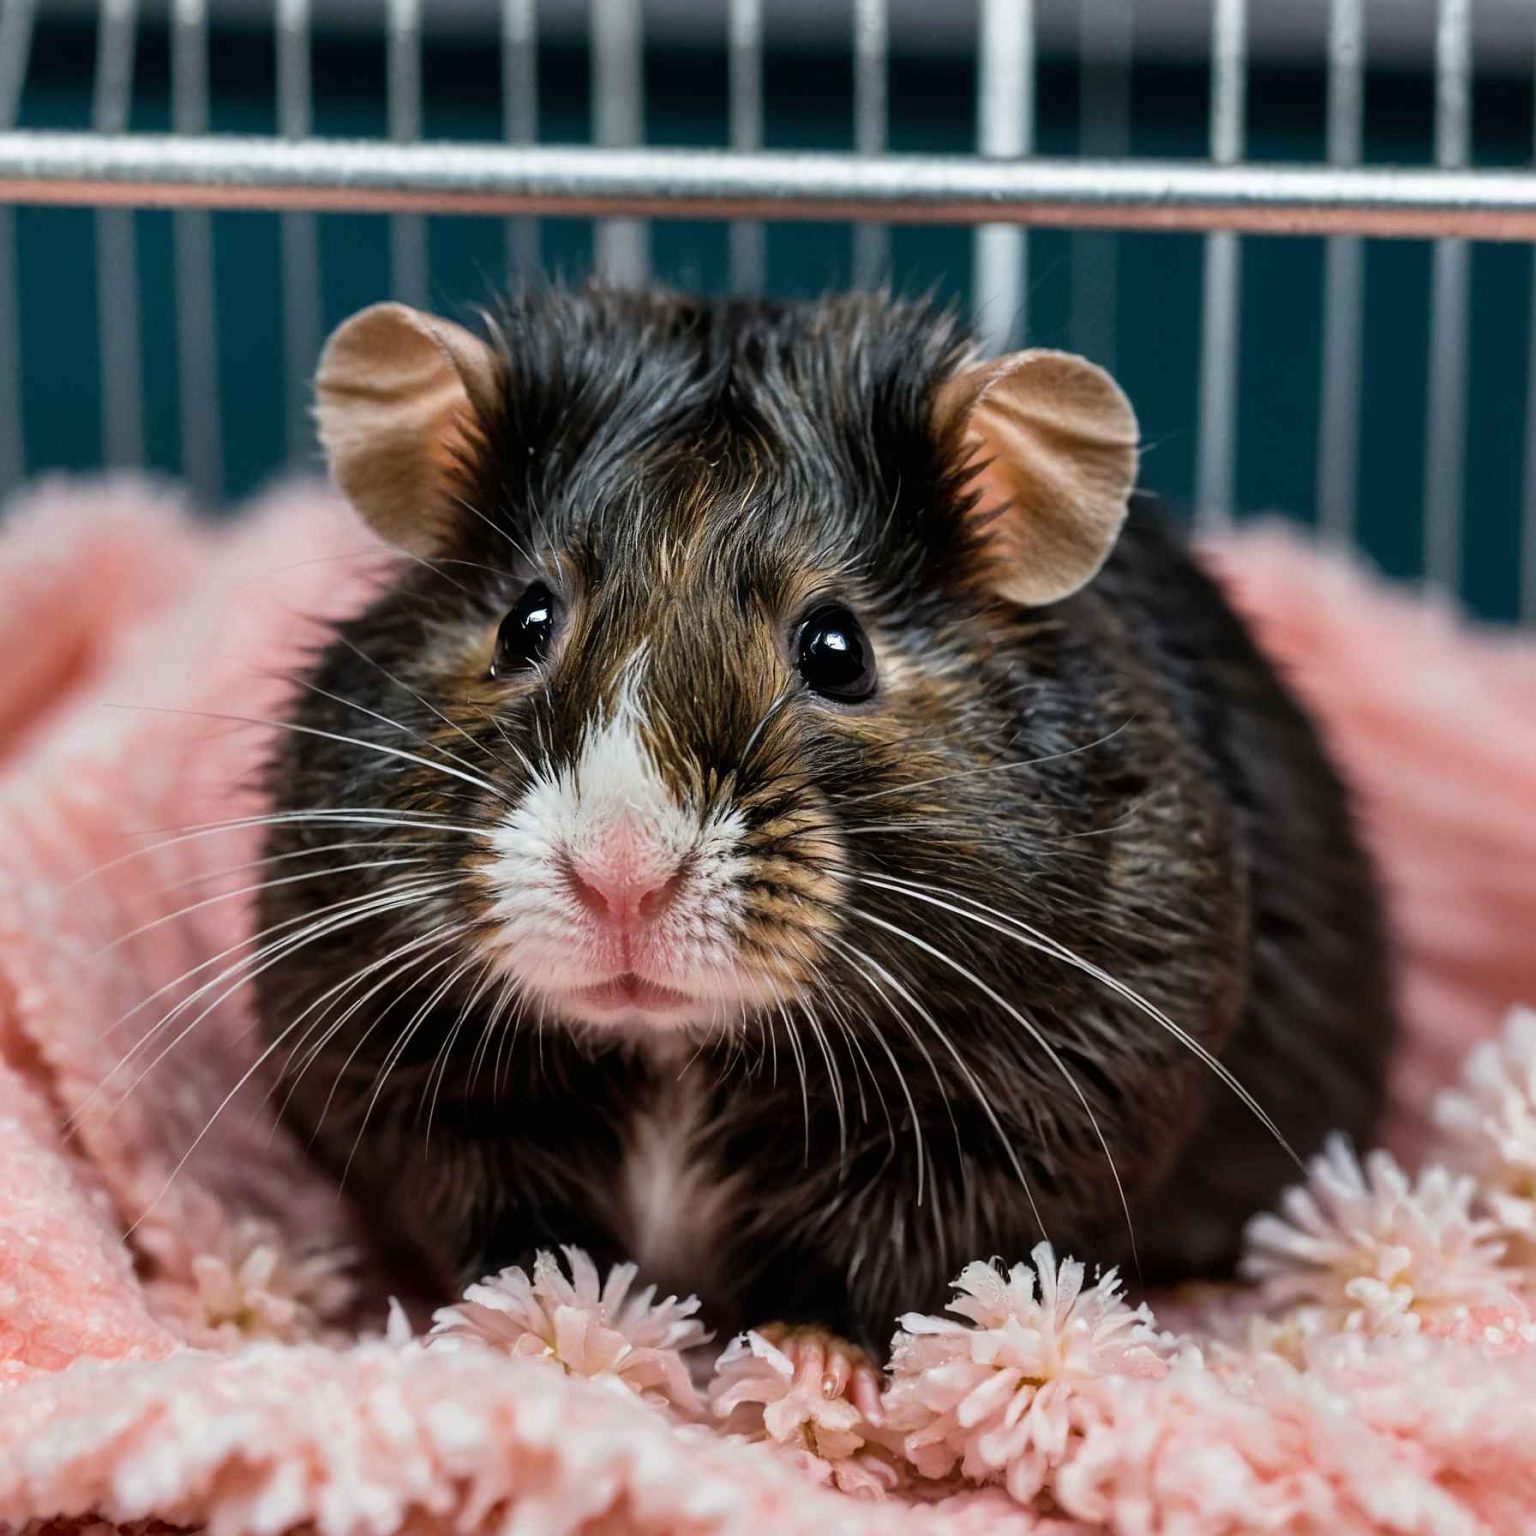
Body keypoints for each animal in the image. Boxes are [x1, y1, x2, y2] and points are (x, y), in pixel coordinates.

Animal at [253, 287, 1394, 1348]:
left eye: (838, 649)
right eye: (523, 625)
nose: (621, 875)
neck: (673, 1051)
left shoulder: (1045, 1097)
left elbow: (876, 1266)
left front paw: (800, 1370)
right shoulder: (384, 1067)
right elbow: (506, 1232)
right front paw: (538, 1323)